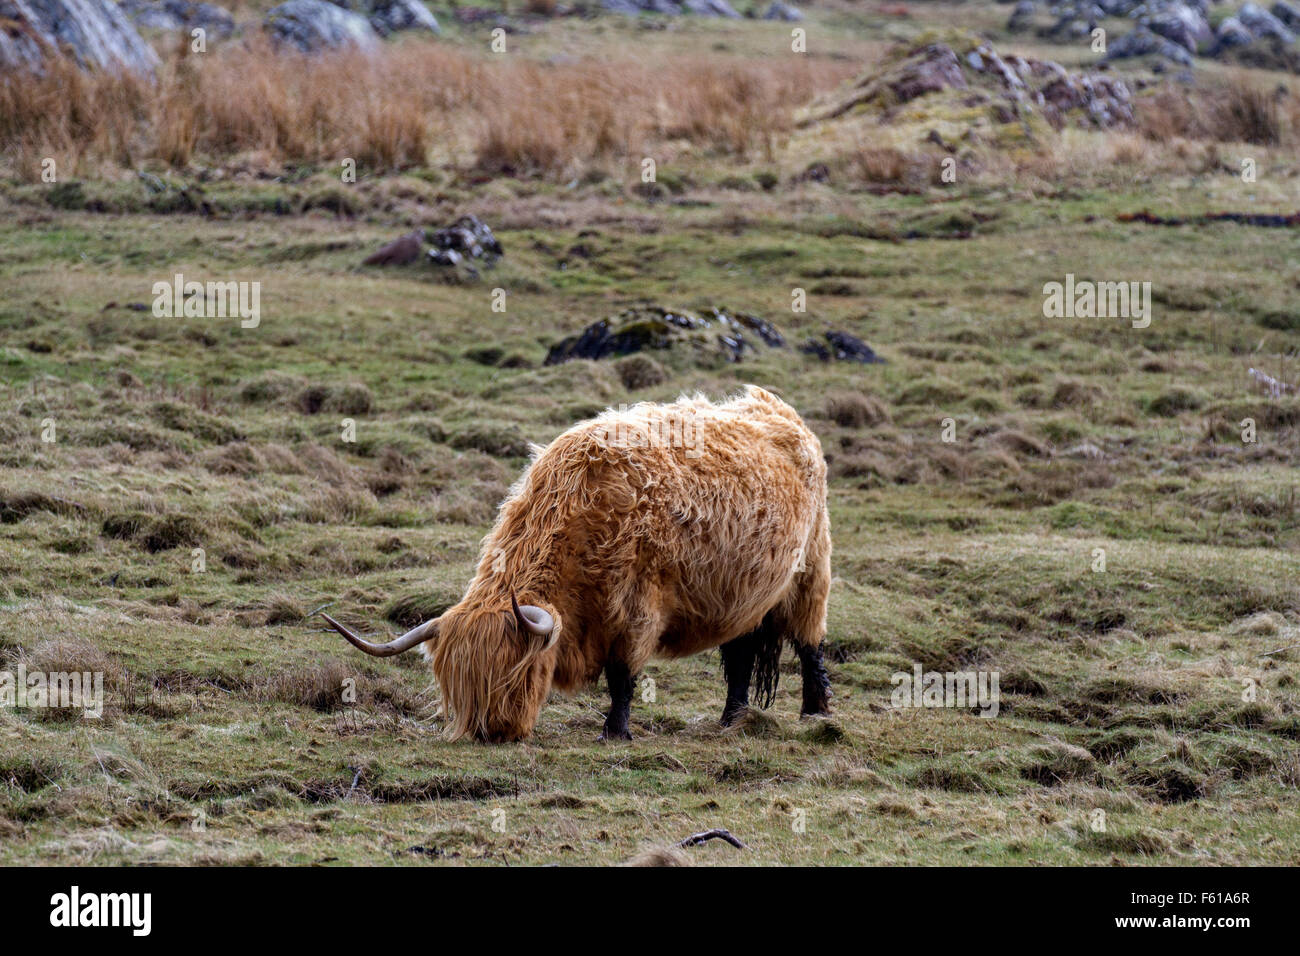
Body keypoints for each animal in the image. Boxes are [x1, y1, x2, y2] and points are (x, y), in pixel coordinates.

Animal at [319, 385, 832, 742]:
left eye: (512, 675)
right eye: (458, 687)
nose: (490, 732)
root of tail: (781, 411)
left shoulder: (639, 608)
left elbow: (622, 676)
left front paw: (615, 731)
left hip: (810, 570)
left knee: (810, 643)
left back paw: (817, 712)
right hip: (744, 595)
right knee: (741, 656)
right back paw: (731, 719)